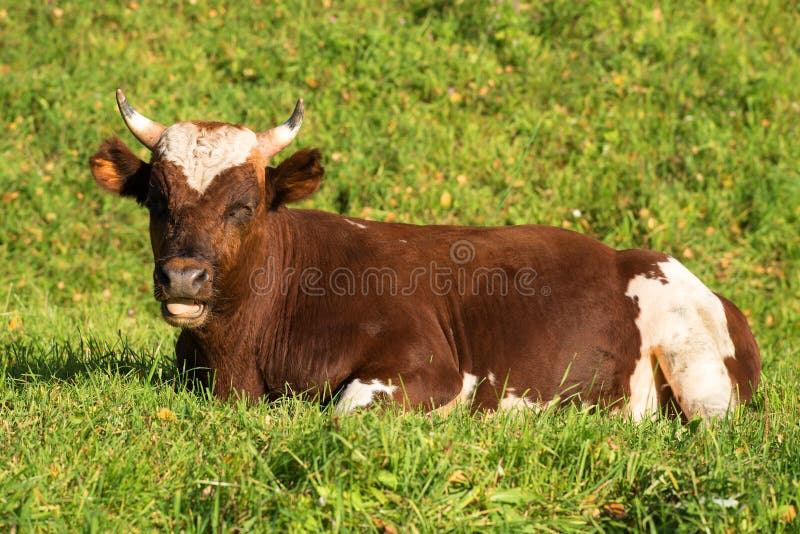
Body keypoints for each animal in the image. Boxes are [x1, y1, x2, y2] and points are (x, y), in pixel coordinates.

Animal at [90, 90, 761, 420]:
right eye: (156, 199)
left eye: (245, 205)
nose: (184, 277)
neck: (242, 361)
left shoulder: (432, 366)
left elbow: (342, 412)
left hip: (702, 376)